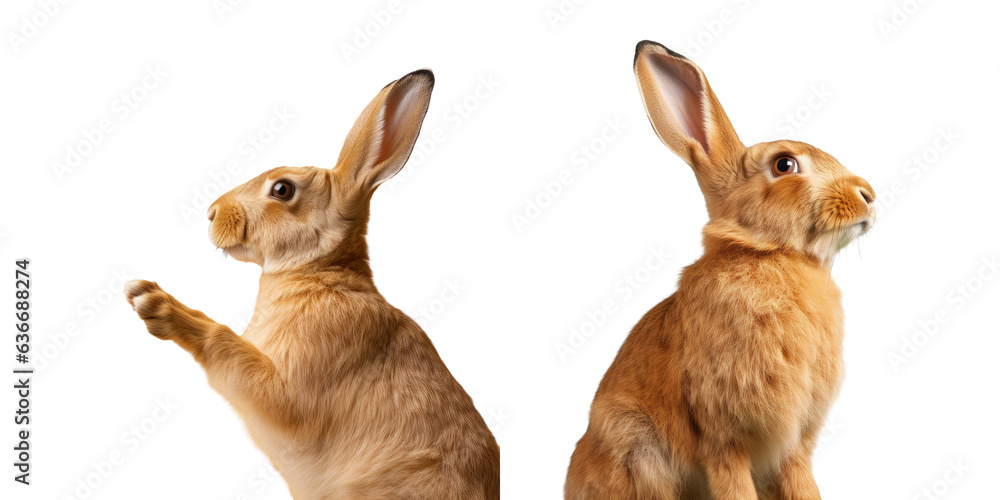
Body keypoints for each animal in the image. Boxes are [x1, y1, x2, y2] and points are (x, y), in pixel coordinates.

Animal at [124, 69, 499, 499]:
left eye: (282, 189)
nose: (212, 213)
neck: (320, 268)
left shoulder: (289, 388)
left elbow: (225, 344)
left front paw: (154, 303)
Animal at [564, 41, 875, 500]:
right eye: (784, 165)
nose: (867, 194)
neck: (770, 254)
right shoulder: (723, 437)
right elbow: (734, 486)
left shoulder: (795, 446)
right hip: (637, 448)